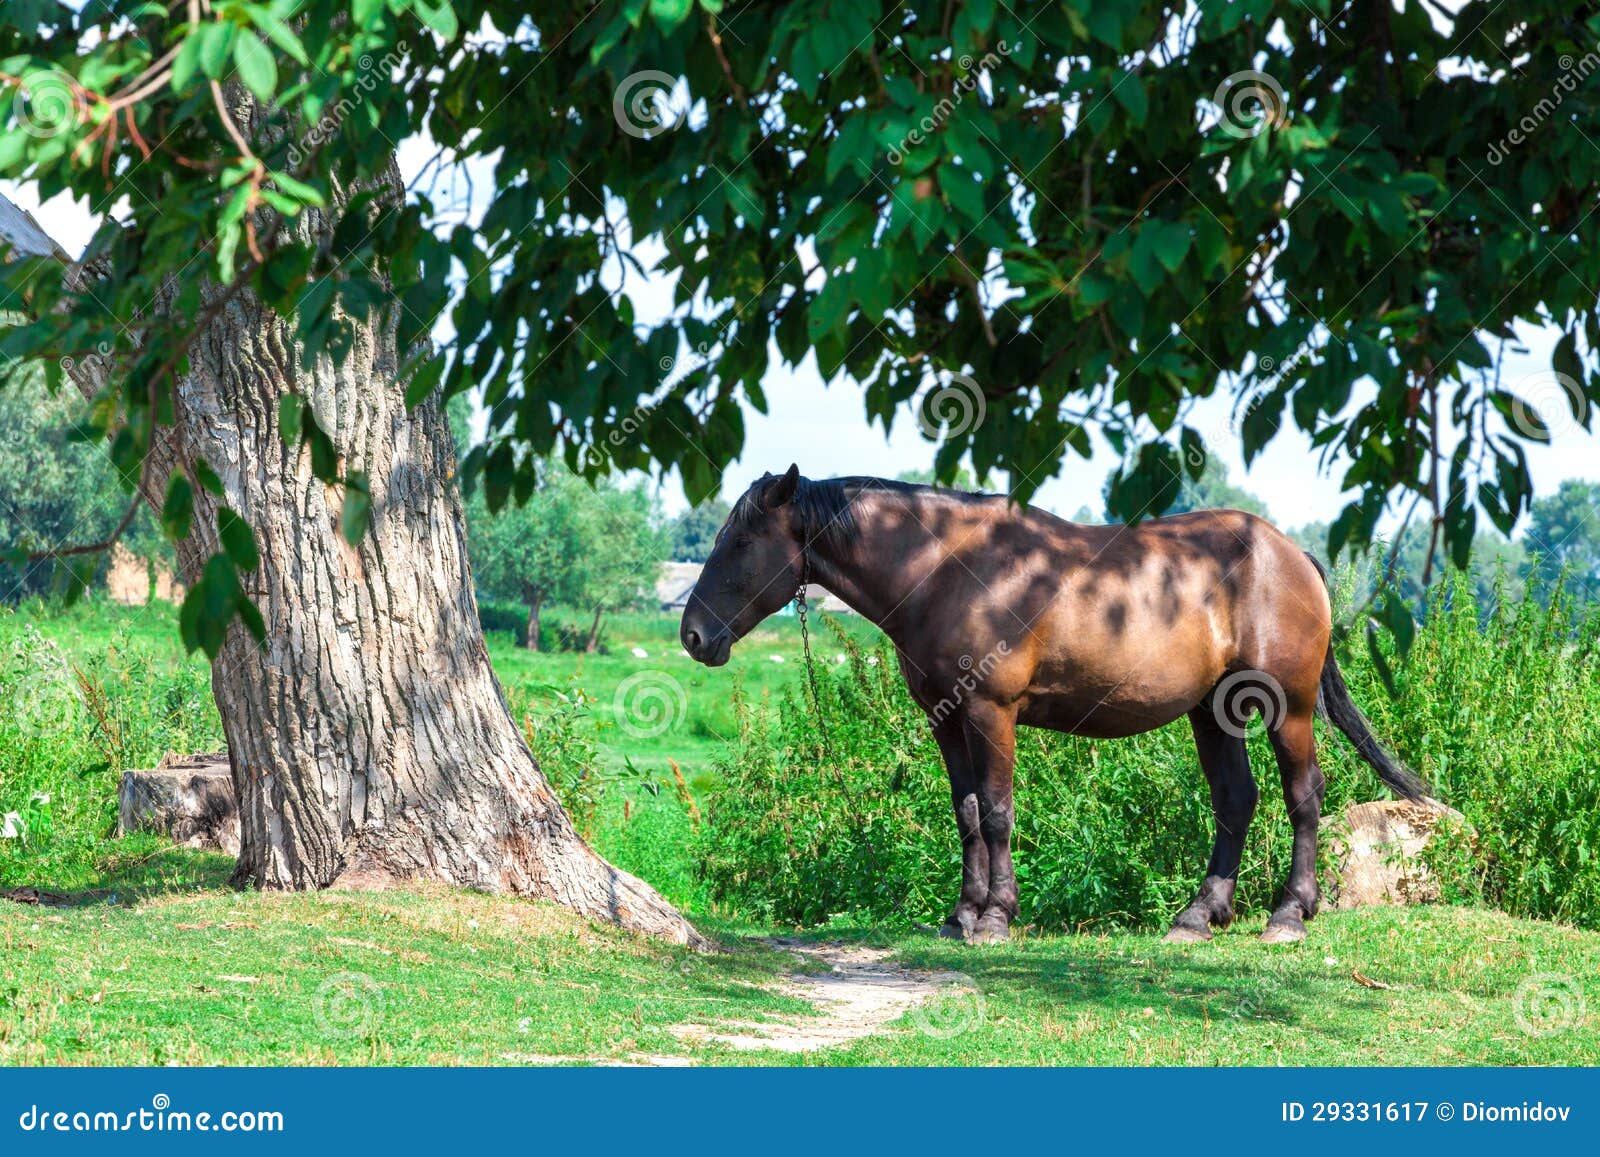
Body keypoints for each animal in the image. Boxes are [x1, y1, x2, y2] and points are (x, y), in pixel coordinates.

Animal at [679, 466, 1431, 944]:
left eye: (740, 541)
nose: (693, 635)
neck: (947, 568)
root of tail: (1292, 555)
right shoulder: (946, 719)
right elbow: (967, 812)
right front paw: (961, 914)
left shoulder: (991, 712)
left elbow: (998, 811)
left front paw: (995, 917)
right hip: (1212, 710)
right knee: (1236, 799)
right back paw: (1198, 915)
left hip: (1289, 708)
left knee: (1304, 796)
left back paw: (1289, 914)